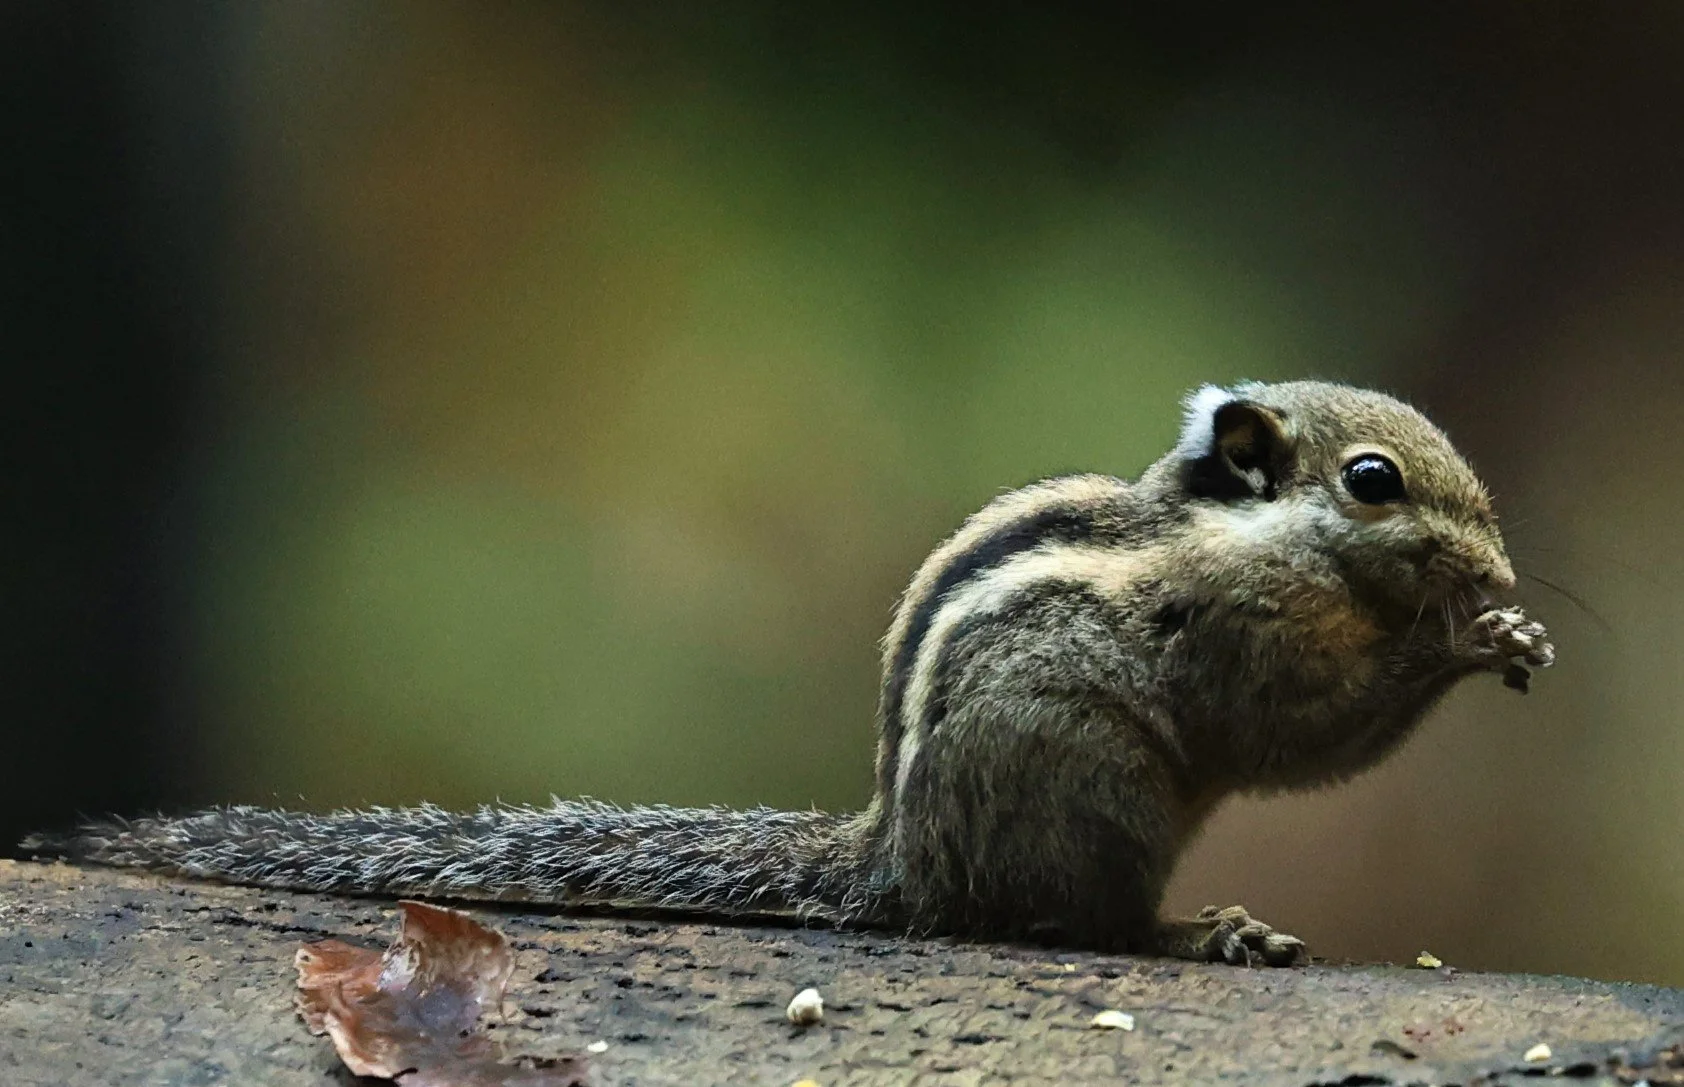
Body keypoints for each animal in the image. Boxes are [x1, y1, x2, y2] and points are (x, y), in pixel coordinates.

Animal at [24, 380, 1555, 966]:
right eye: (1373, 481)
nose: (1502, 571)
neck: (1239, 531)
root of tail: (901, 854)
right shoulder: (1249, 639)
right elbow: (1307, 737)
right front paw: (1469, 640)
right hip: (1099, 791)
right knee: (1083, 926)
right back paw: (1203, 929)